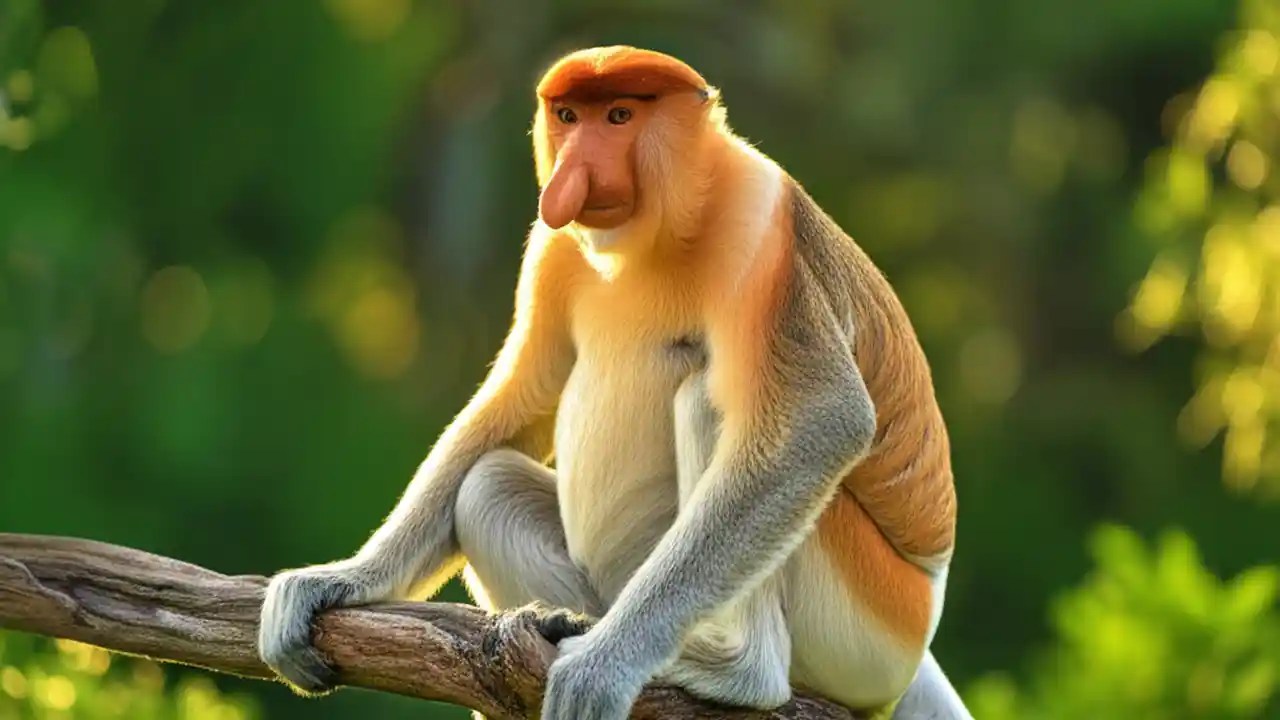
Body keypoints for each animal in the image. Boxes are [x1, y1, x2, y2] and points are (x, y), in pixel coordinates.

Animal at [258, 46, 971, 720]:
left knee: (715, 405)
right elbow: (522, 399)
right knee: (488, 484)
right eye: (570, 117)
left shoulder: (761, 231)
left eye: (621, 116)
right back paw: (557, 624)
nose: (576, 171)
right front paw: (342, 580)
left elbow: (821, 420)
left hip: (871, 622)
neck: (652, 234)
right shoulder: (552, 247)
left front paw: (603, 668)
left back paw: (737, 672)